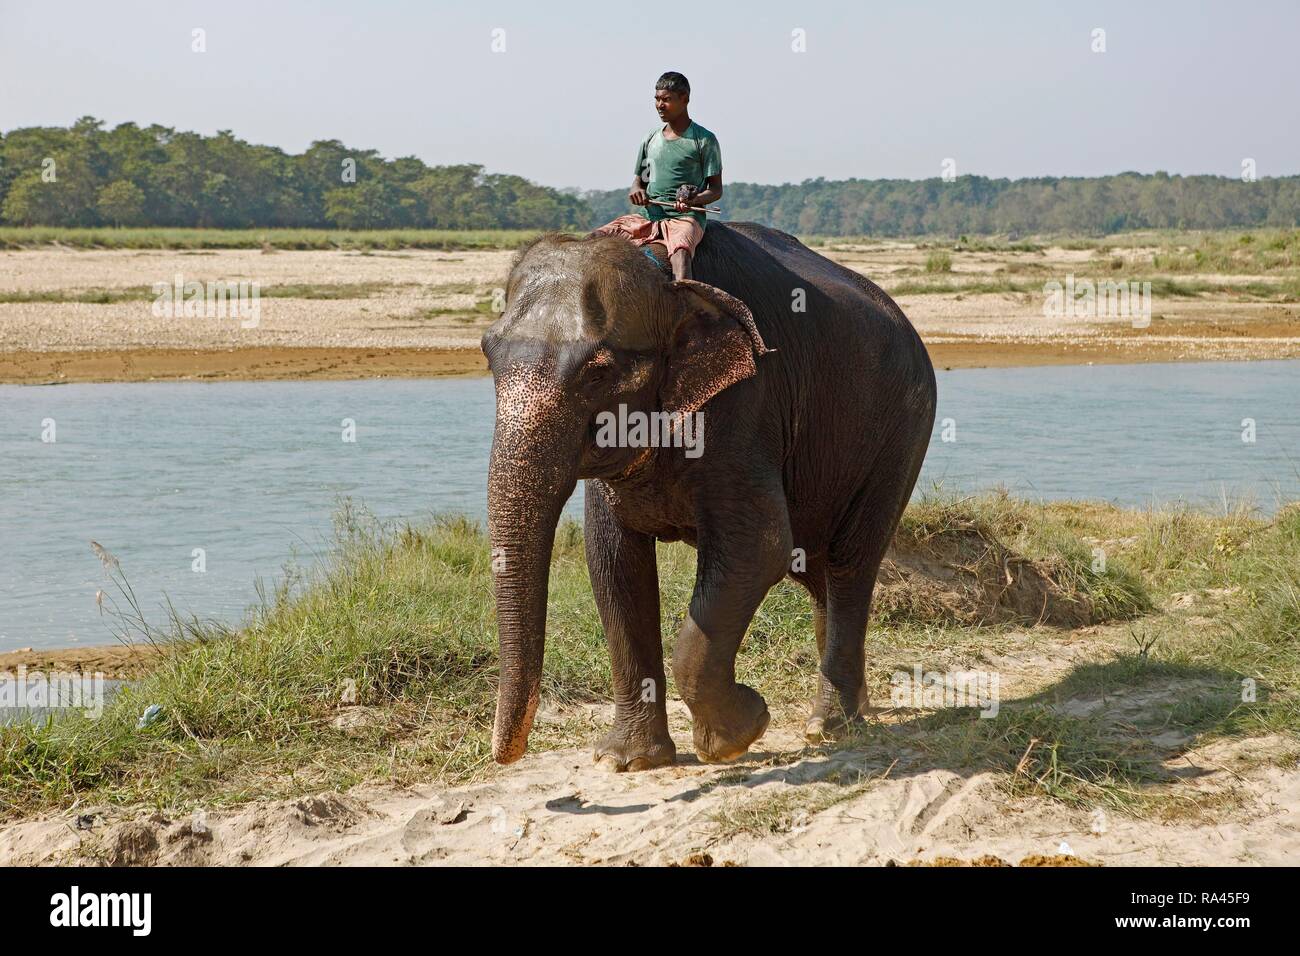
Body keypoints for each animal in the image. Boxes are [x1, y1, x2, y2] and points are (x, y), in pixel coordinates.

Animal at [481, 221, 936, 769]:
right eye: (487, 355)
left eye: (598, 371)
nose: (504, 754)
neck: (665, 279)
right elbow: (612, 562)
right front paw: (626, 761)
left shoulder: (745, 407)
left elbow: (758, 548)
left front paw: (739, 733)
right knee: (821, 573)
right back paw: (852, 711)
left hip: (901, 435)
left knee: (851, 562)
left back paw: (831, 728)